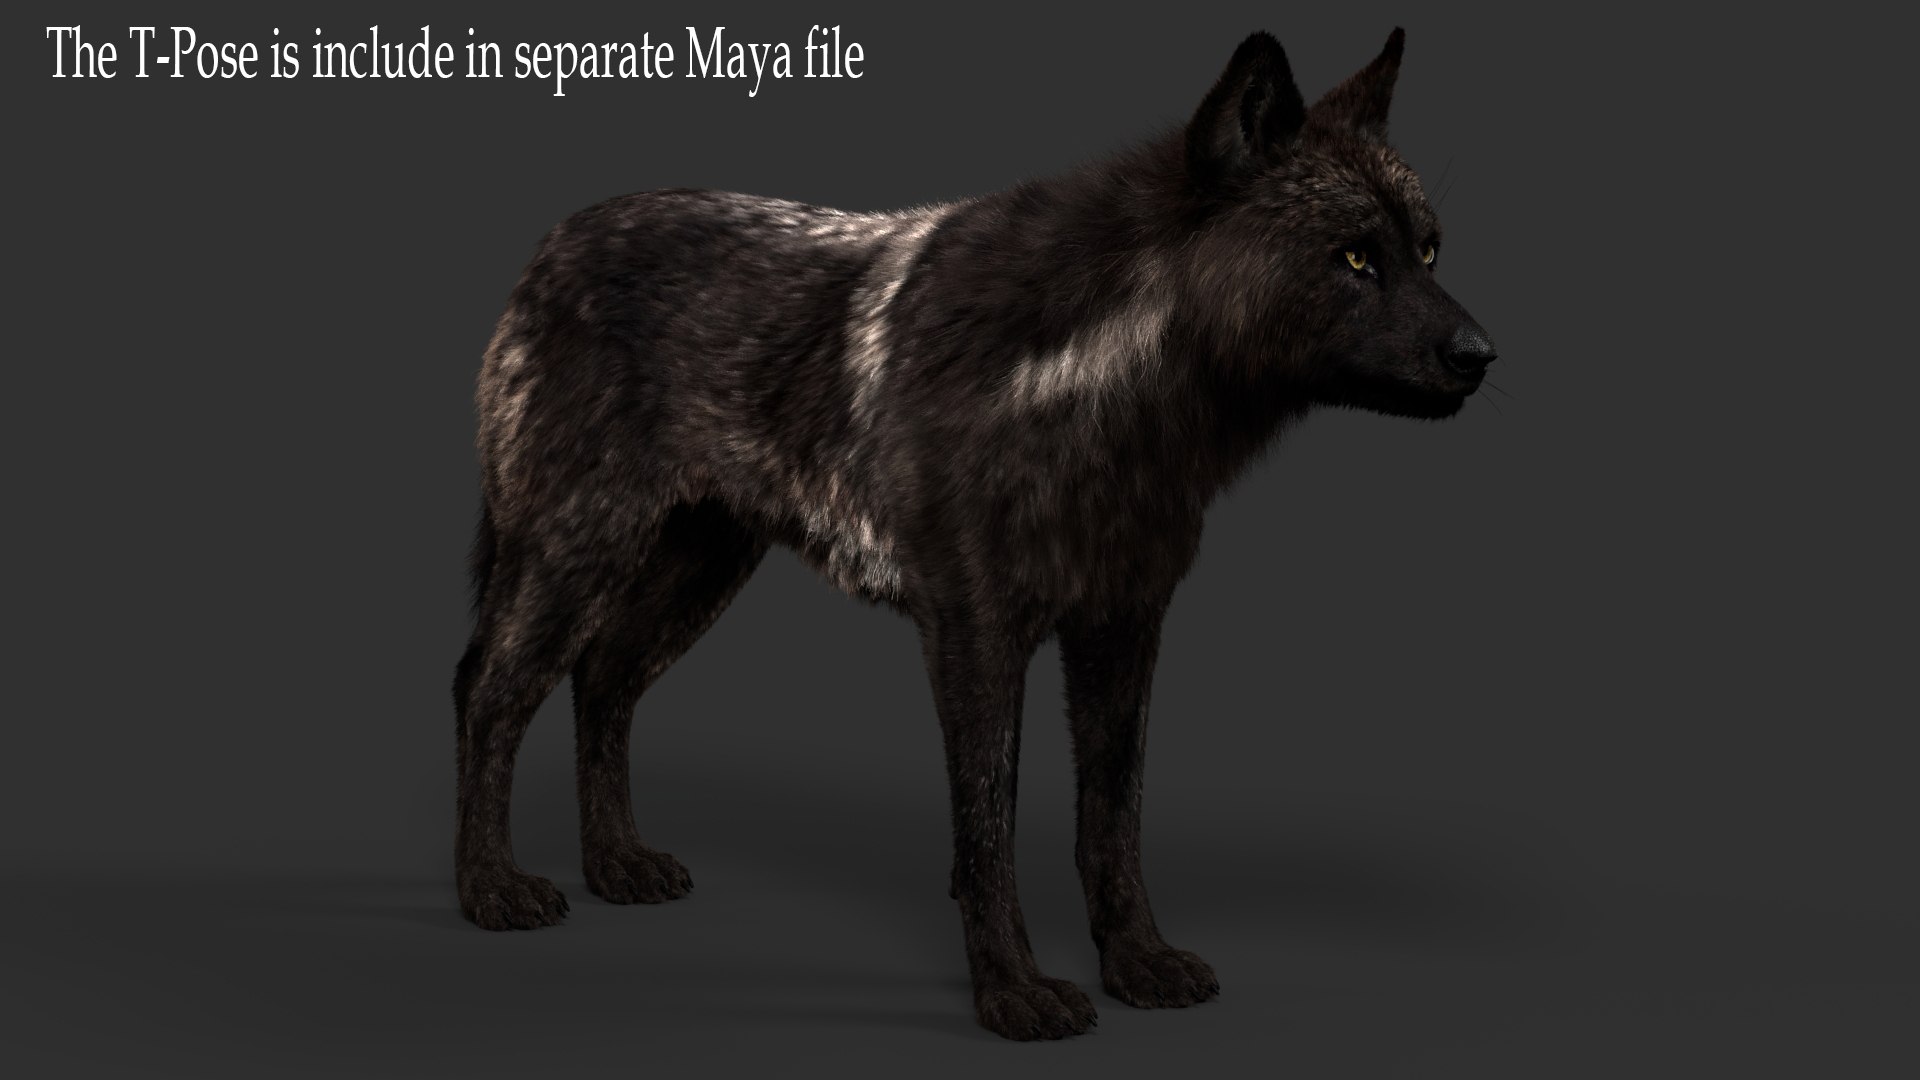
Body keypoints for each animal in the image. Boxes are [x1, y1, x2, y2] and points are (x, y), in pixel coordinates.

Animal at [453, 27, 1496, 1040]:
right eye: (1354, 259)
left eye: (1429, 253)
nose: (1482, 355)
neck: (1099, 393)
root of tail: (553, 241)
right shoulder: (975, 635)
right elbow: (989, 827)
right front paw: (1014, 995)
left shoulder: (1124, 626)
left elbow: (1112, 819)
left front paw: (1138, 964)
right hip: (578, 555)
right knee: (489, 689)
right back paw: (488, 890)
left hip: (697, 571)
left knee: (602, 680)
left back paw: (616, 867)